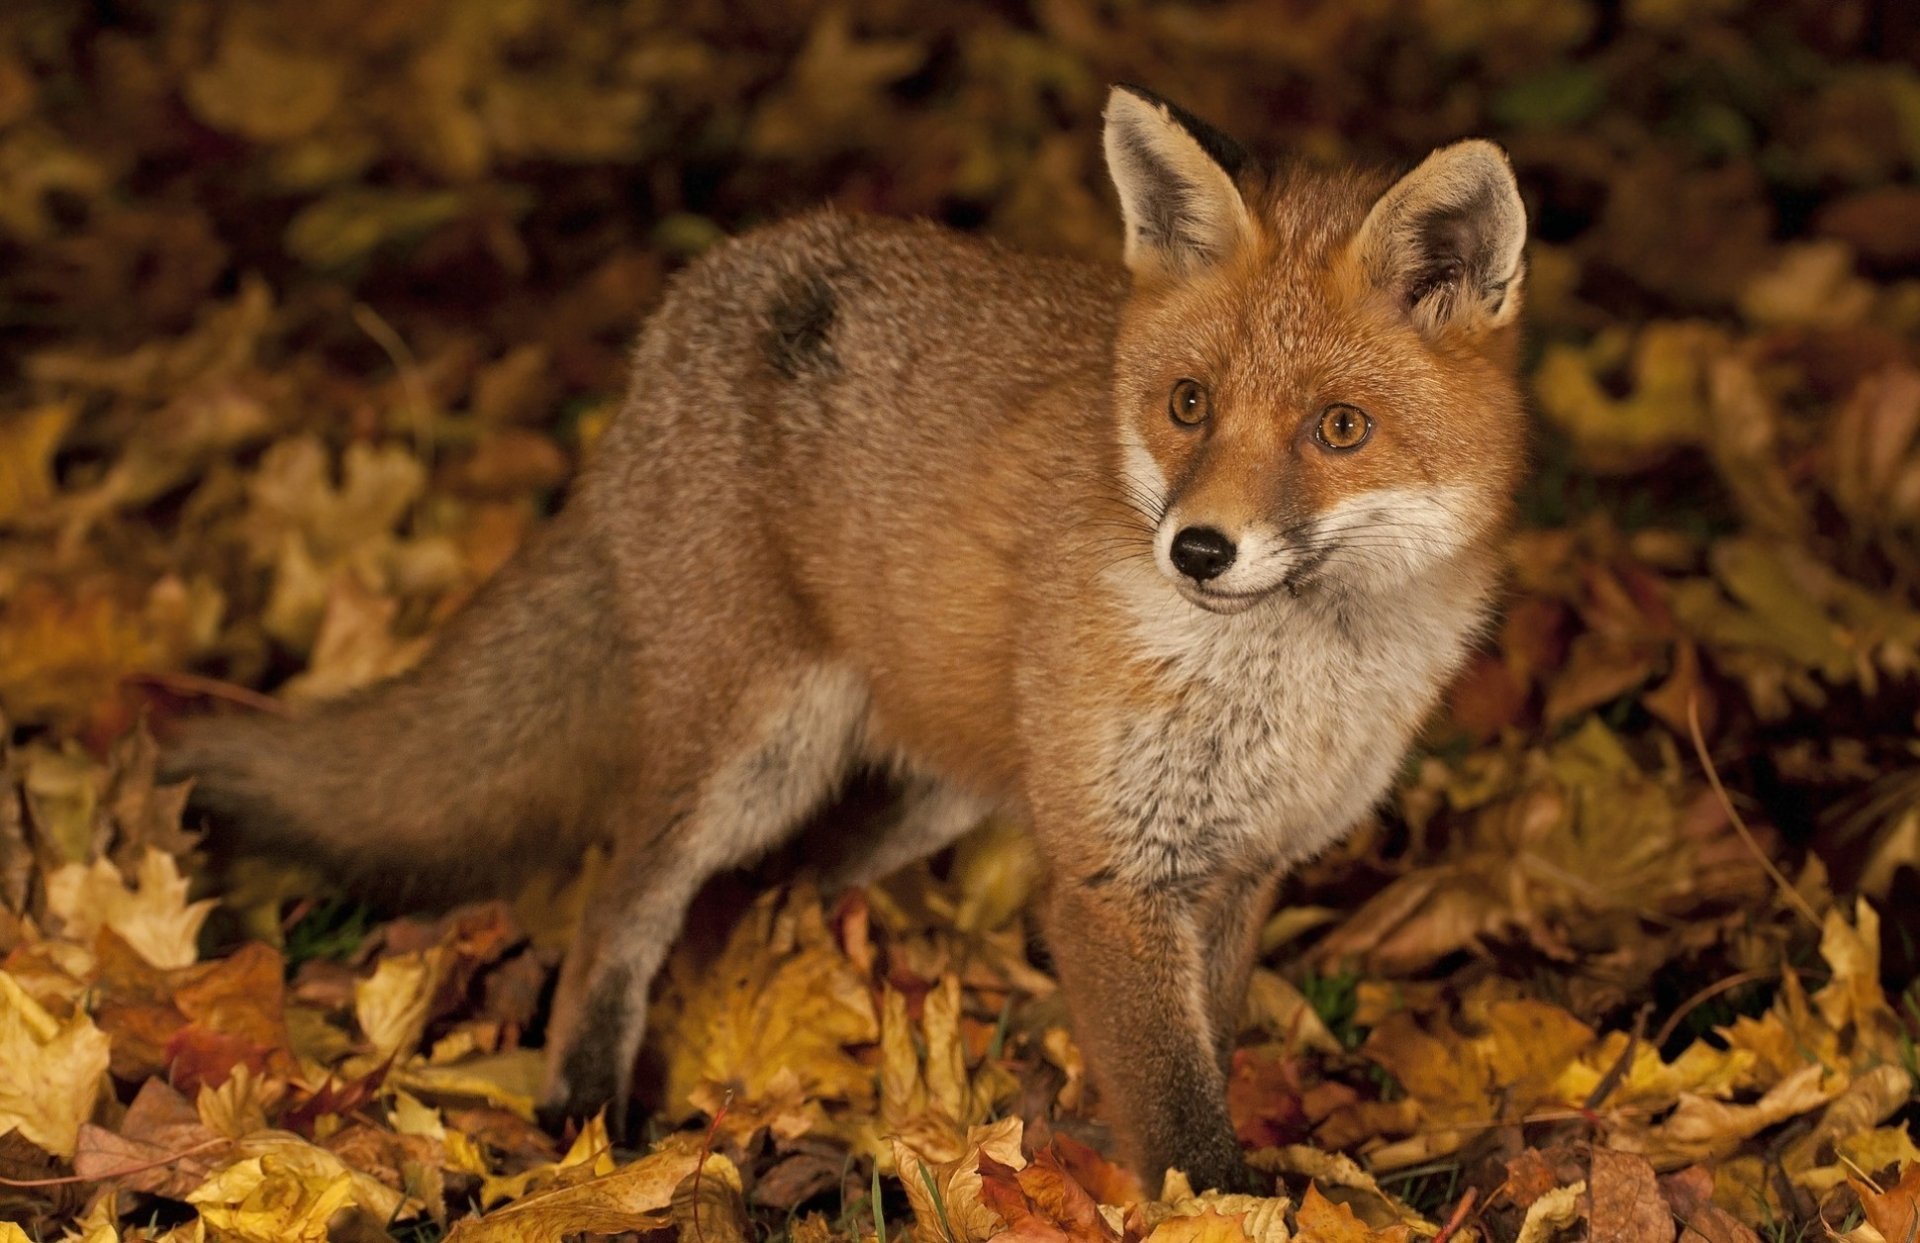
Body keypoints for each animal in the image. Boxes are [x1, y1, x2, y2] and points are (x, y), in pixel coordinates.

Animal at [167, 85, 1528, 1194]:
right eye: (1188, 405)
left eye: (1338, 428)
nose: (1196, 549)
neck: (1298, 679)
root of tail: (696, 298)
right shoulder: (1110, 877)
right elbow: (1185, 1128)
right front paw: (1227, 1210)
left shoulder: (1235, 870)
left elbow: (1210, 1053)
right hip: (755, 752)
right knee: (620, 902)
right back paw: (587, 1110)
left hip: (926, 787)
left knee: (789, 888)